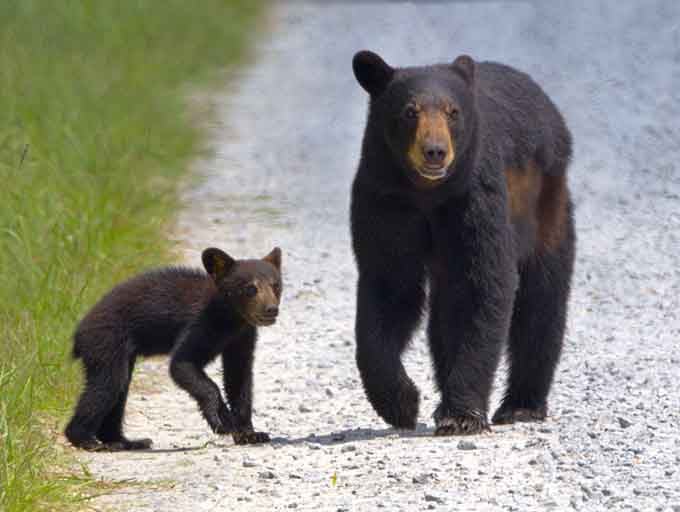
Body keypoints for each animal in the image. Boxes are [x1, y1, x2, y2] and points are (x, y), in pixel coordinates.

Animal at [64, 246, 282, 450]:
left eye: (276, 285)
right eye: (251, 288)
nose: (271, 309)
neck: (231, 318)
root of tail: (78, 332)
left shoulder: (242, 336)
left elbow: (239, 377)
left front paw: (250, 434)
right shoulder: (202, 323)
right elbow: (182, 364)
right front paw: (221, 419)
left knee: (120, 390)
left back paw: (125, 441)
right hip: (106, 341)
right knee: (107, 385)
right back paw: (86, 439)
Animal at [350, 50, 575, 435]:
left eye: (453, 111)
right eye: (410, 111)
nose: (435, 151)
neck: (427, 195)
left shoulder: (476, 198)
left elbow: (483, 286)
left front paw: (462, 414)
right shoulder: (383, 200)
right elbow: (390, 288)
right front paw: (400, 402)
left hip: (545, 205)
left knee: (541, 299)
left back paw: (522, 405)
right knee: (445, 311)